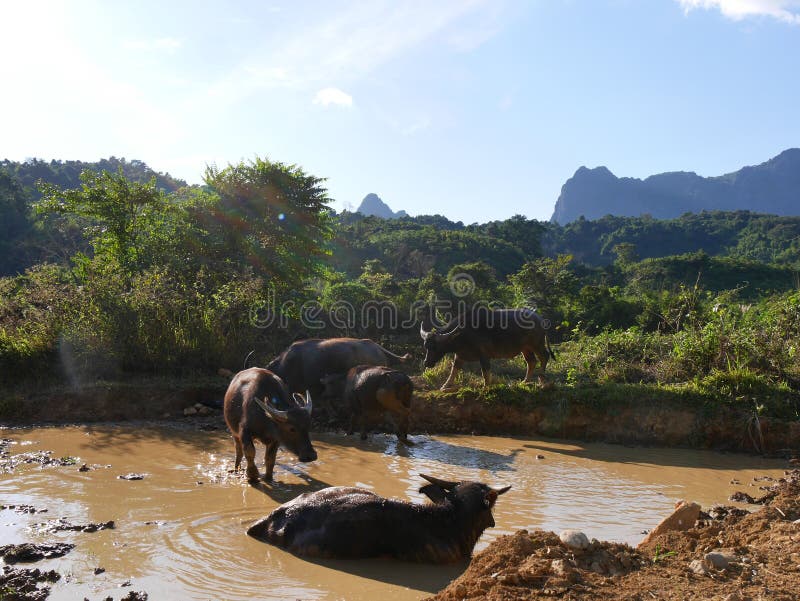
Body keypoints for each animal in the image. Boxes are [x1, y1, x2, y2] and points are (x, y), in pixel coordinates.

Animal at [420, 308, 555, 390]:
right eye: (426, 346)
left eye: (435, 347)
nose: (426, 362)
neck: (463, 332)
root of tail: (541, 320)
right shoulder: (460, 355)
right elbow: (454, 370)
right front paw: (445, 385)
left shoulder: (484, 355)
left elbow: (485, 372)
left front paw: (486, 387)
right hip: (525, 348)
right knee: (531, 362)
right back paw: (525, 381)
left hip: (537, 344)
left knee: (544, 356)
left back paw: (542, 380)